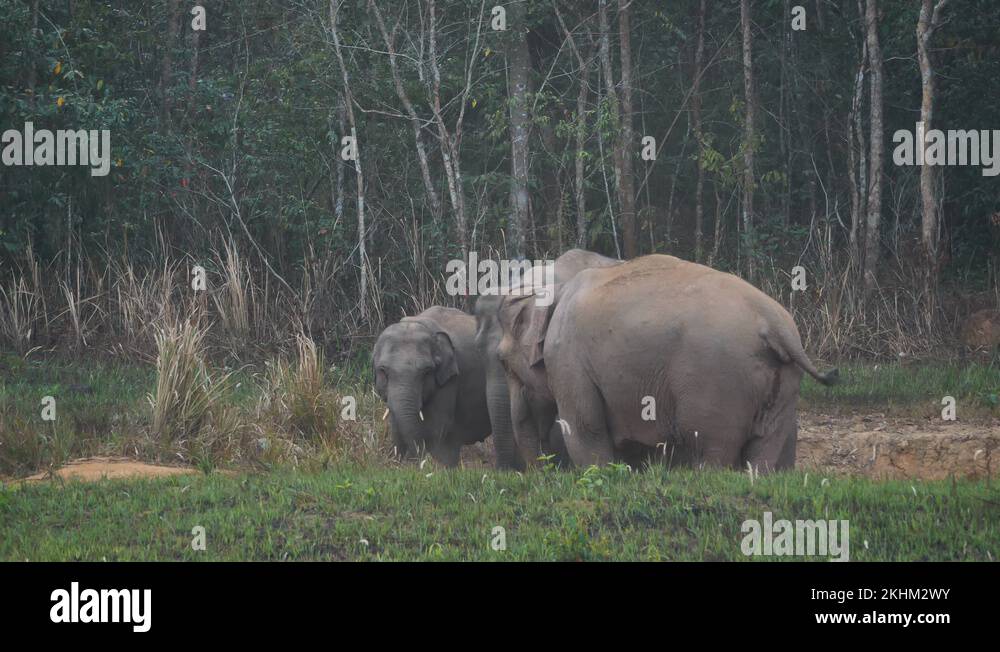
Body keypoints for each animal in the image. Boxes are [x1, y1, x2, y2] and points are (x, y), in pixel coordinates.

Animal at [373, 305, 491, 467]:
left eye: (427, 371)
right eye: (383, 370)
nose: (410, 460)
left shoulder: (450, 378)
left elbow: (438, 425)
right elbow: (395, 422)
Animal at [504, 254, 838, 472]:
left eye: (504, 361)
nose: (540, 472)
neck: (556, 291)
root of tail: (776, 324)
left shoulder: (568, 357)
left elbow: (585, 429)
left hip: (718, 382)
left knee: (711, 447)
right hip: (783, 383)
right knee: (765, 449)